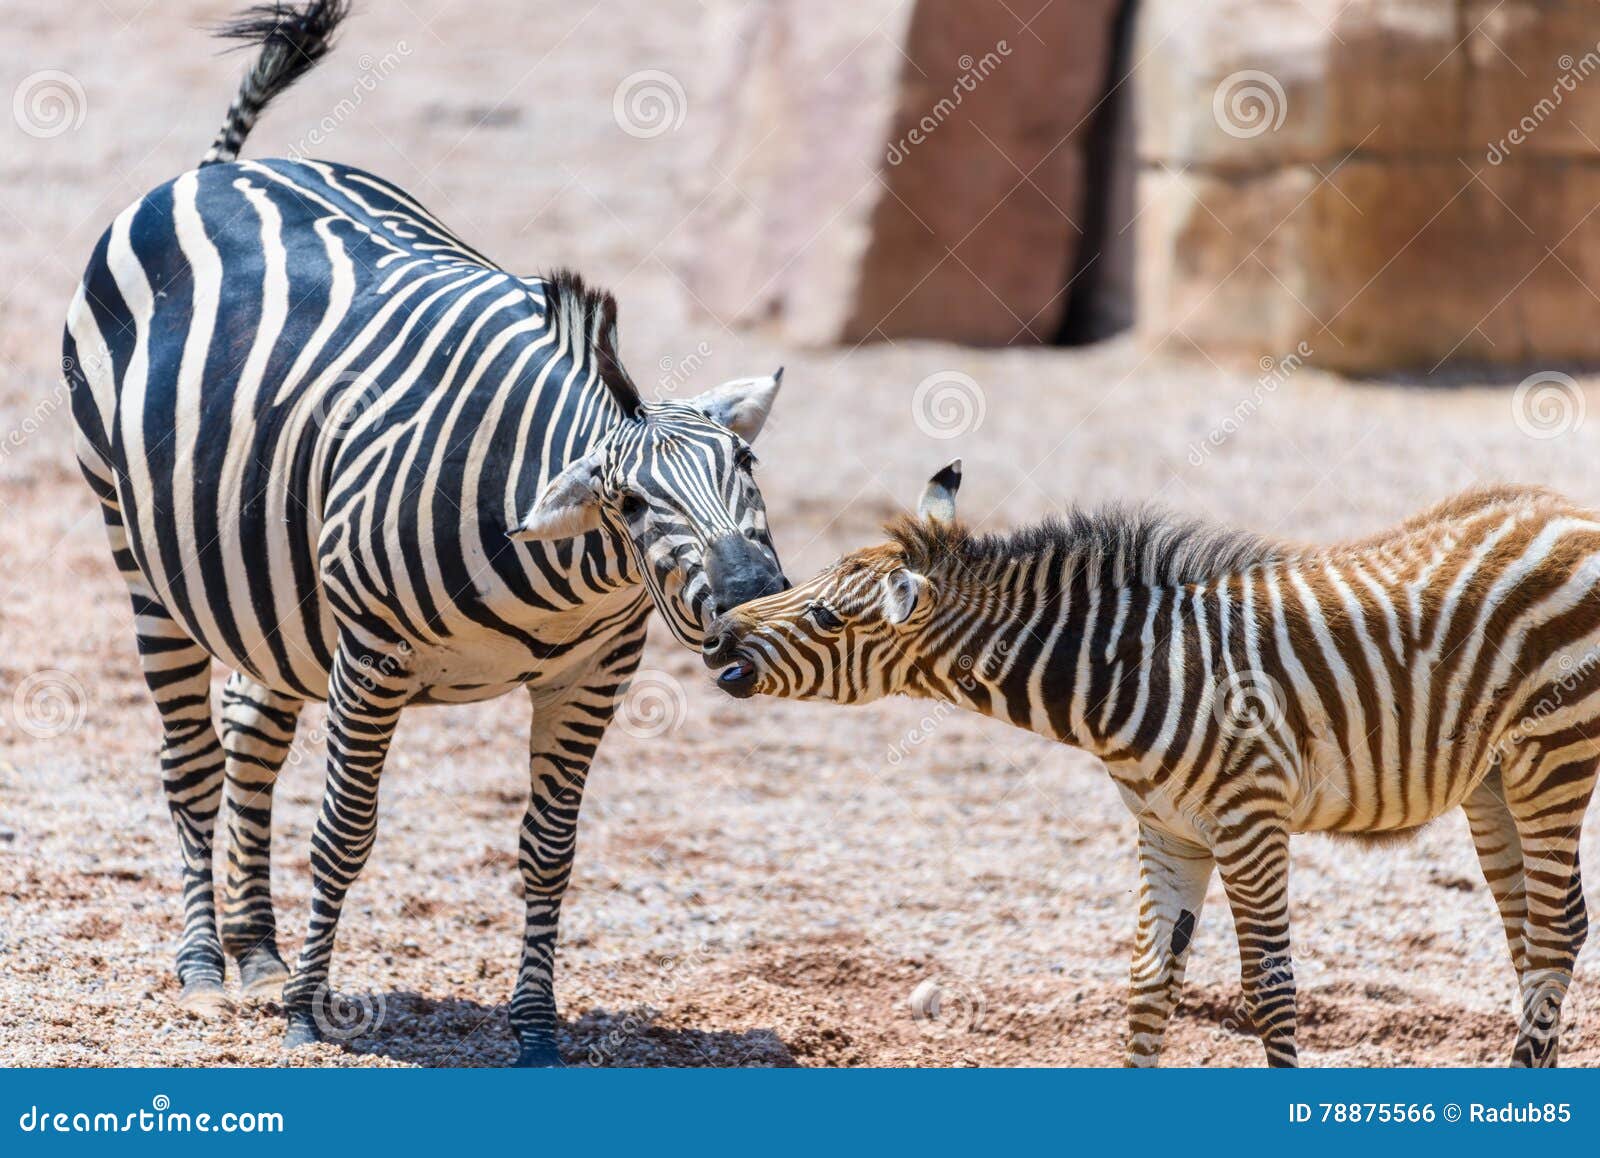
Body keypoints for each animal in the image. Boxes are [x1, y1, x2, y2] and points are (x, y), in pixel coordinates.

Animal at [64, 0, 789, 1065]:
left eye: (749, 468)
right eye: (630, 505)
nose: (751, 607)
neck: (562, 574)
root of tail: (220, 169)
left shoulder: (593, 672)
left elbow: (549, 851)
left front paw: (535, 1030)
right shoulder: (372, 655)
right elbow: (344, 834)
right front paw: (307, 1018)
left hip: (272, 598)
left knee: (248, 733)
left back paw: (257, 951)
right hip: (140, 554)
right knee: (189, 758)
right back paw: (205, 967)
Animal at [704, 463, 1597, 1067]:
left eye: (825, 616)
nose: (714, 637)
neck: (1133, 671)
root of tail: (1571, 513)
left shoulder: (1249, 822)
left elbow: (1268, 987)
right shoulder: (1170, 830)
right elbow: (1148, 981)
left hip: (1553, 756)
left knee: (1558, 931)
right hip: (1493, 784)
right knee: (1528, 936)